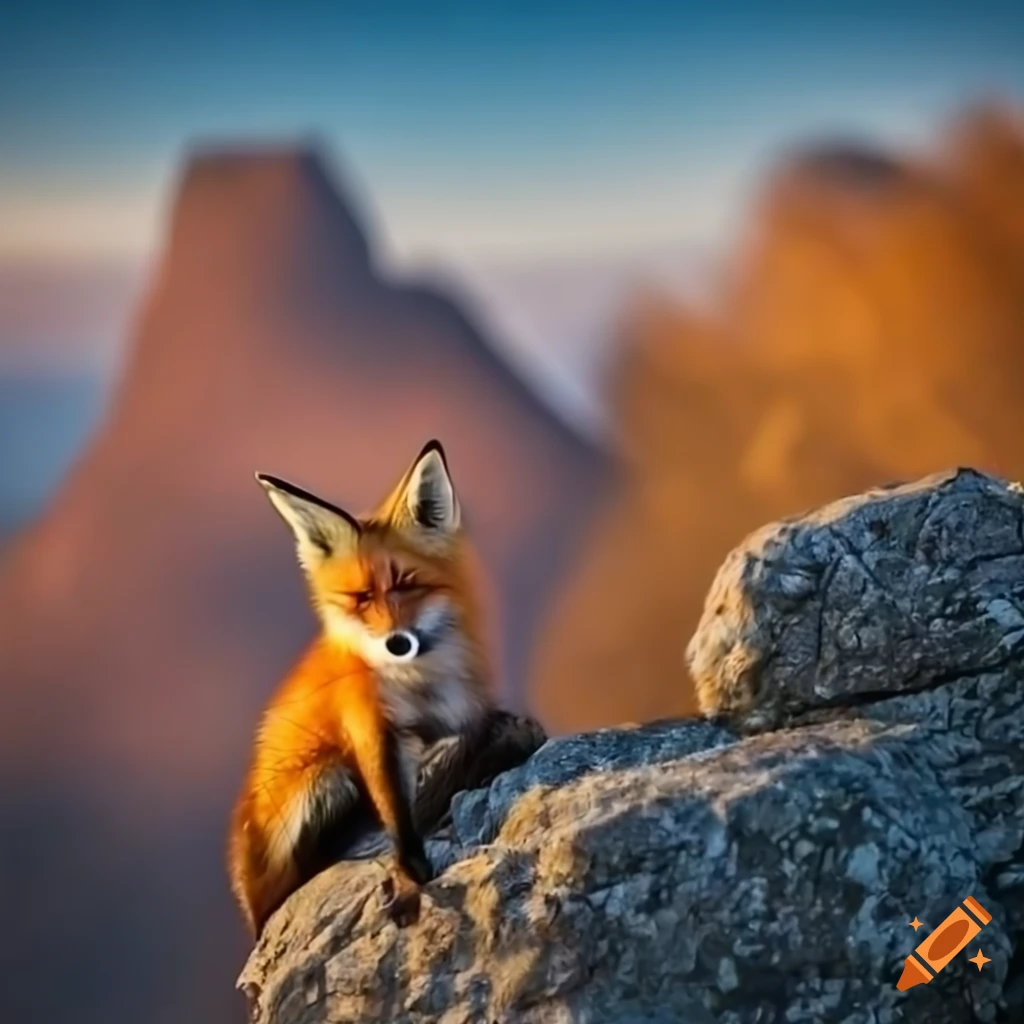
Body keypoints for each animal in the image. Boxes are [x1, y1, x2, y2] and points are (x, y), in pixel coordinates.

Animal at [227, 439, 498, 938]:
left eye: (406, 584)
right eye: (361, 599)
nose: (397, 643)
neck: (423, 681)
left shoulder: (465, 714)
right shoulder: (373, 724)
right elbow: (393, 802)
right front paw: (412, 869)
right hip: (323, 779)